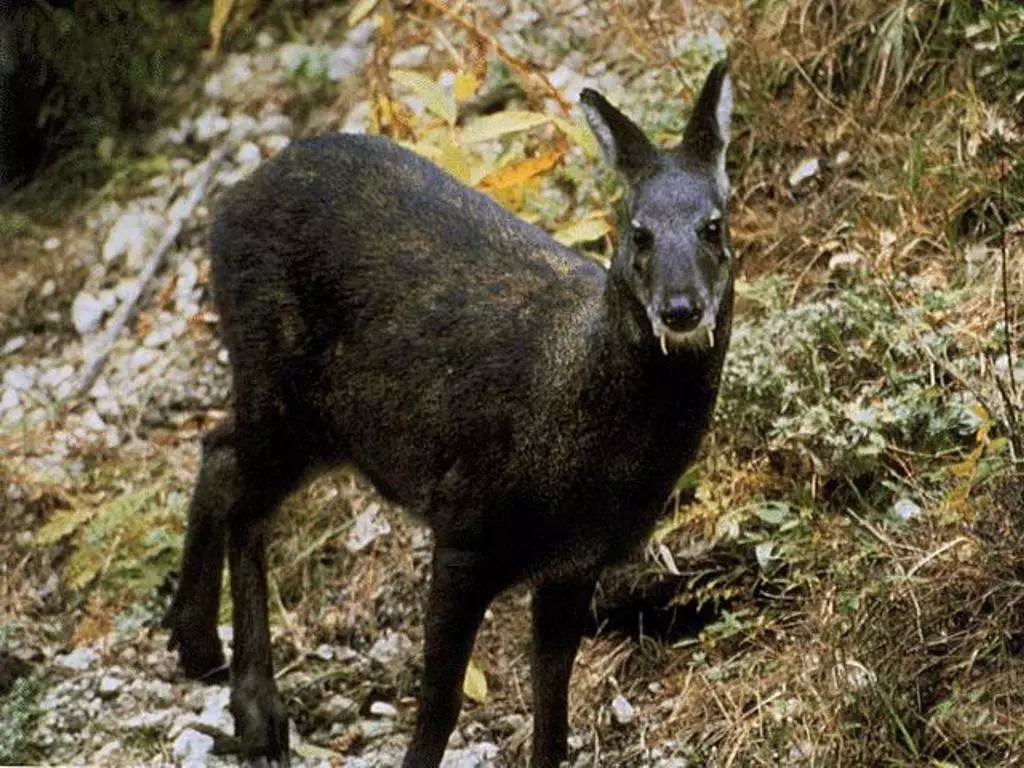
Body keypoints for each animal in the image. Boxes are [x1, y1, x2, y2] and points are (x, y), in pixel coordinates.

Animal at [161, 61, 737, 768]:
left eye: (714, 225)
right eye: (638, 232)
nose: (681, 309)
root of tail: (227, 204)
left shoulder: (575, 565)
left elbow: (553, 708)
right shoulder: (465, 529)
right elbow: (440, 704)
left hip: (319, 423)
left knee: (218, 452)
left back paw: (197, 646)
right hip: (278, 384)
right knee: (241, 493)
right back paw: (256, 712)